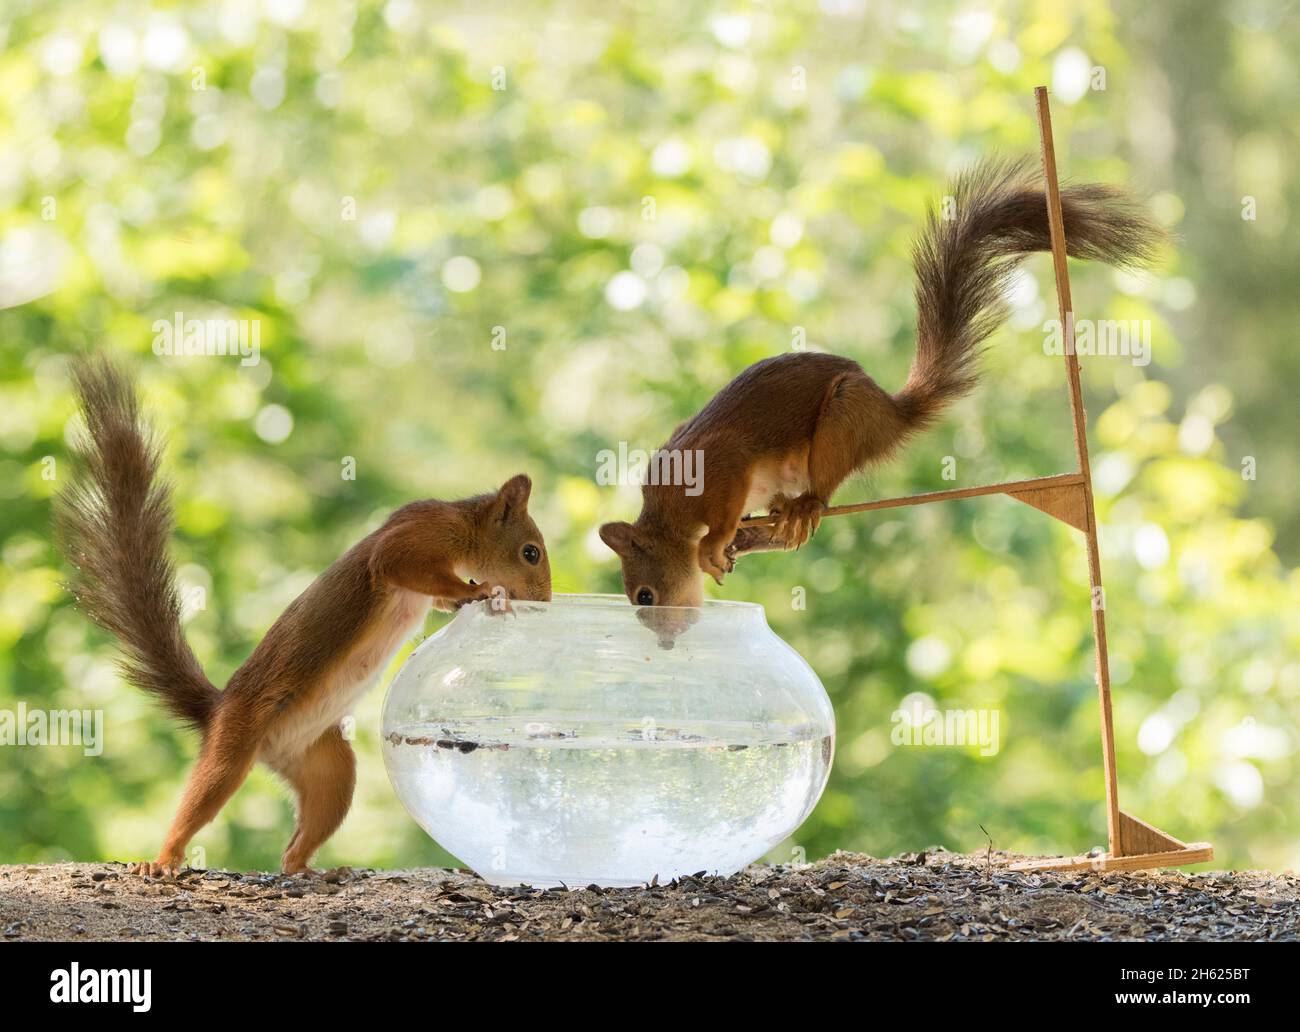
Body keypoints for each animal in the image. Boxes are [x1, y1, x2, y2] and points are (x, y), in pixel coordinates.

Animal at [55, 357, 552, 875]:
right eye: (530, 552)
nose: (546, 598)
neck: (462, 525)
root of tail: (221, 711)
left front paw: (466, 598)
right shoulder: (416, 537)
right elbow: (397, 563)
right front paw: (480, 592)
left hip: (330, 770)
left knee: (296, 844)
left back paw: (313, 869)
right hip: (235, 743)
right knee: (203, 797)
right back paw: (164, 858)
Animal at [600, 159, 1163, 609]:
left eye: (645, 595)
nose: (665, 635)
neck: (670, 517)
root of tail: (891, 413)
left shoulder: (721, 464)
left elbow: (719, 510)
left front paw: (712, 547)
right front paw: (721, 552)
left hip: (844, 420)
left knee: (821, 496)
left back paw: (799, 509)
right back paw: (771, 523)